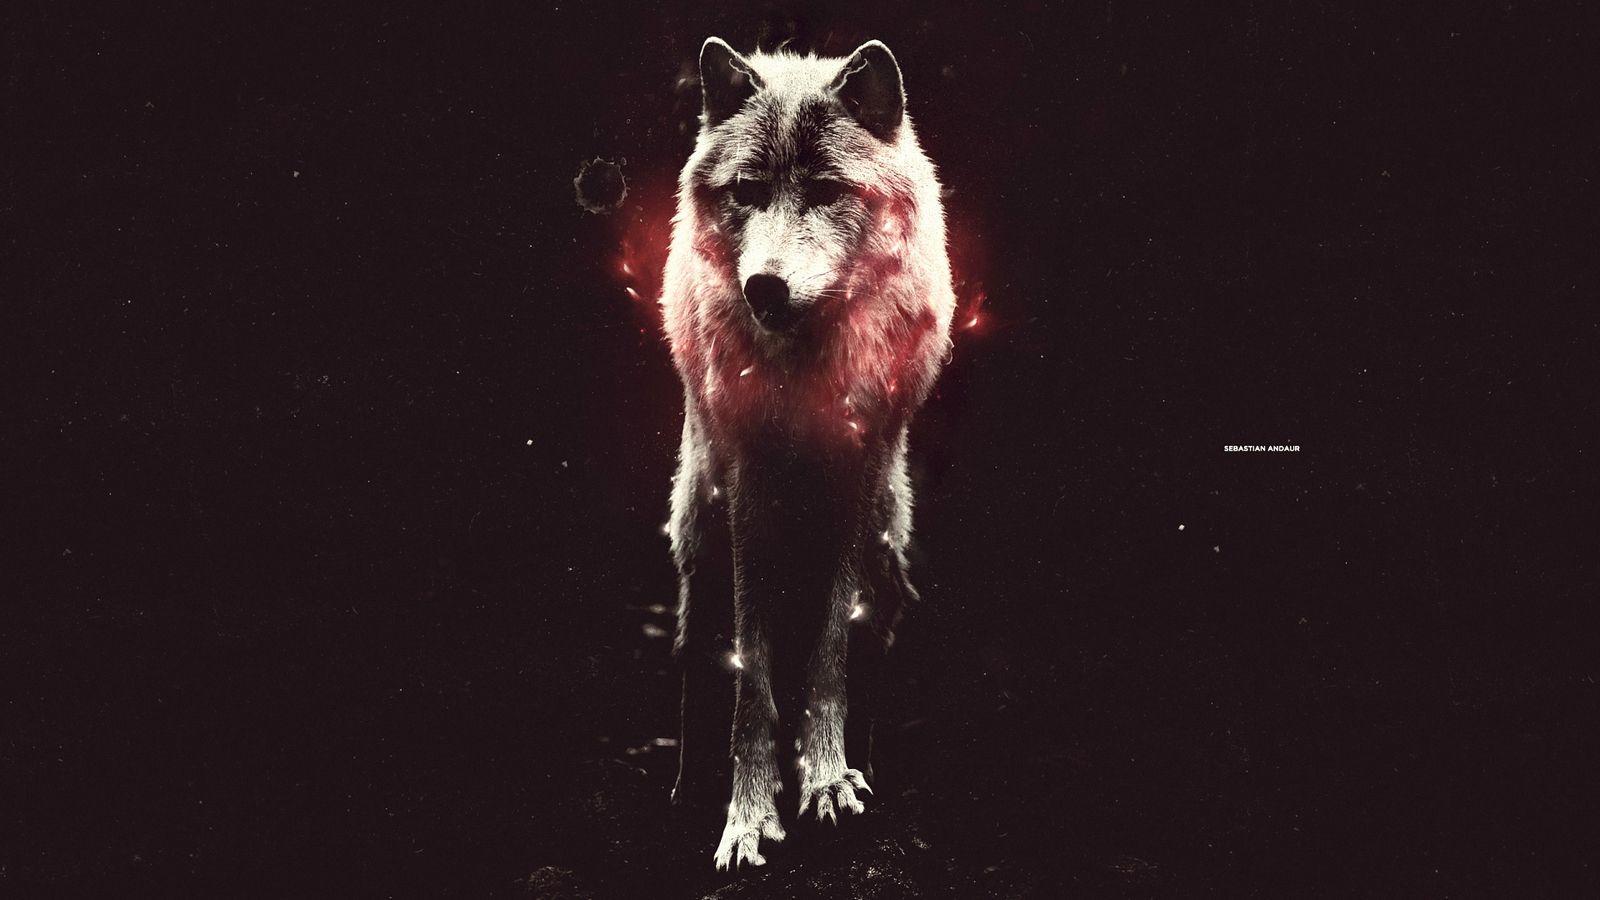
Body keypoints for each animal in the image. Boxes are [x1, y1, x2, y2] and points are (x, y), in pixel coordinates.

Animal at [659, 36, 955, 870]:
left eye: (825, 191)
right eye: (748, 191)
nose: (764, 287)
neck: (805, 373)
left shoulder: (858, 482)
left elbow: (828, 653)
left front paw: (826, 780)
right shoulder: (746, 489)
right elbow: (751, 678)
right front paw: (747, 815)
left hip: (890, 535)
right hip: (697, 533)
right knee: (696, 650)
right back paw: (686, 786)